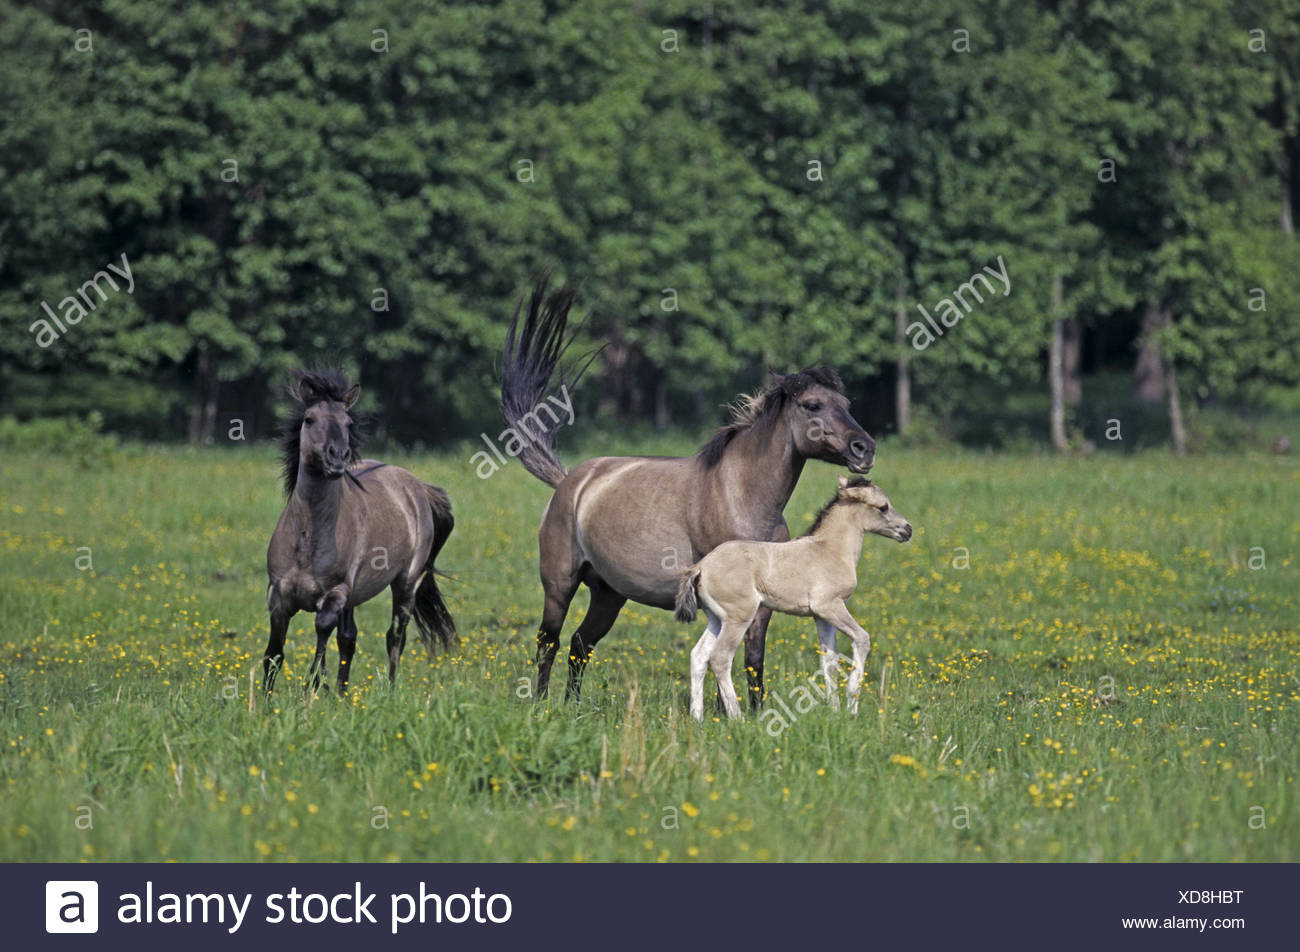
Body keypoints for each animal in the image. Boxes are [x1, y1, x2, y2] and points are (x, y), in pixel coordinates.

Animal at [263, 370, 456, 695]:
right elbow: (274, 654)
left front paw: (314, 686)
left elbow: (322, 629)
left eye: (348, 423)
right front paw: (263, 699)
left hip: (406, 584)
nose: (337, 456)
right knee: (349, 638)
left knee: (395, 636)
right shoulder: (279, 598)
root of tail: (416, 487)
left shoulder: (337, 593)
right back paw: (343, 693)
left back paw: (389, 690)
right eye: (309, 419)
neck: (307, 539)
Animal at [501, 272, 877, 706]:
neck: (740, 496)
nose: (865, 448)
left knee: (581, 644)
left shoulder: (760, 604)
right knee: (550, 641)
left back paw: (572, 707)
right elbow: (723, 659)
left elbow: (754, 660)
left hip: (609, 593)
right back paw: (542, 704)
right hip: (560, 583)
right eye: (813, 405)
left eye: (846, 402)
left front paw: (754, 711)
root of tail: (568, 482)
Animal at [675, 476, 912, 719]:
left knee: (699, 656)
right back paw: (737, 717)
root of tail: (701, 567)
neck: (831, 550)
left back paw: (697, 717)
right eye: (883, 507)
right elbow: (862, 638)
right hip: (738, 617)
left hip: (716, 619)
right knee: (720, 657)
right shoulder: (830, 607)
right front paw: (852, 706)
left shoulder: (822, 617)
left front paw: (835, 711)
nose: (907, 530)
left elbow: (829, 660)